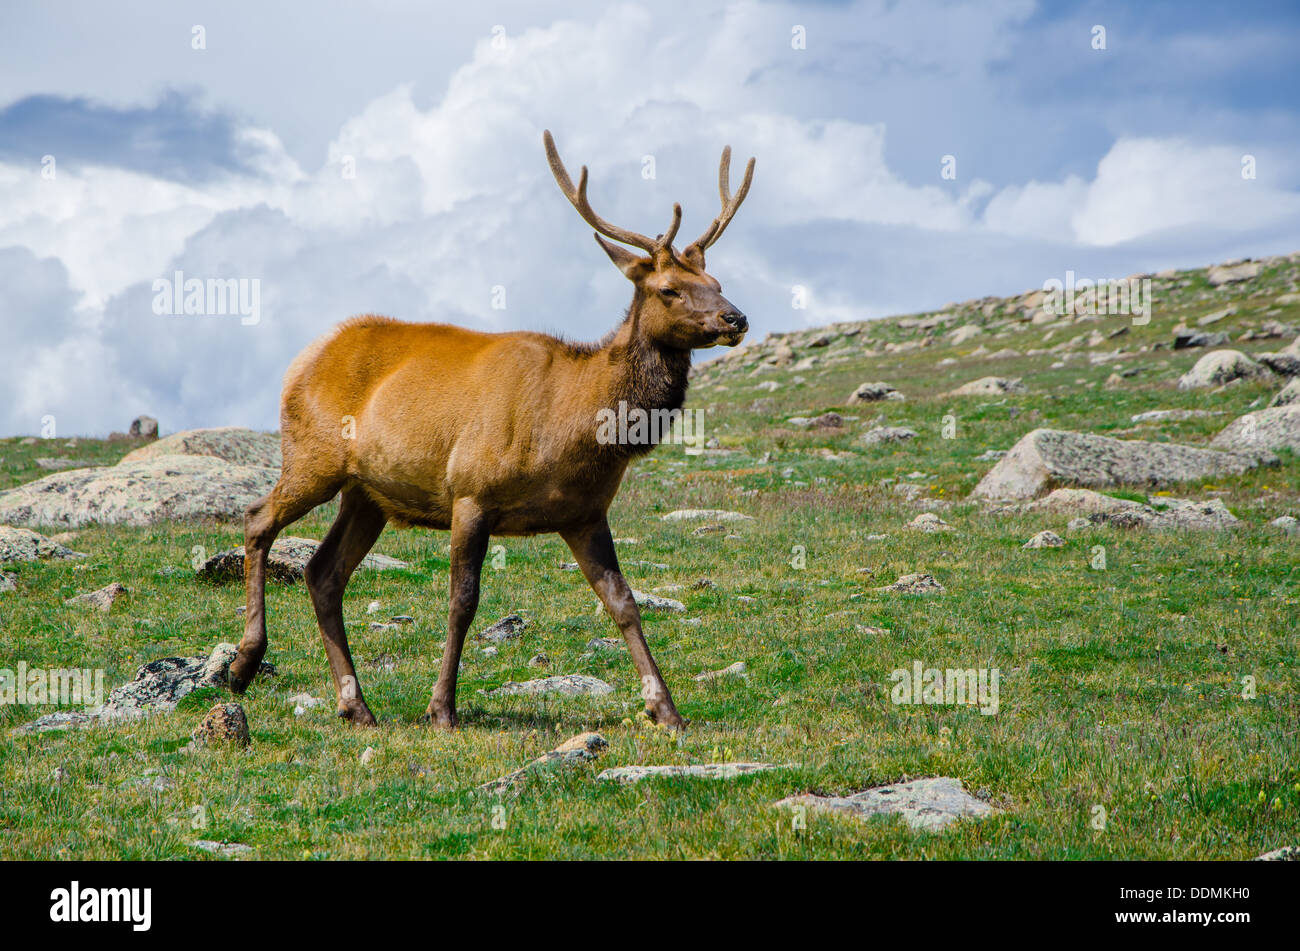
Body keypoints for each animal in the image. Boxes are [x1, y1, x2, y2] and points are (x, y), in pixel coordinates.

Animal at [226, 130, 755, 731]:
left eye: (715, 280)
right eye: (669, 289)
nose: (736, 317)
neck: (575, 429)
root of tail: (303, 359)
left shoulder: (585, 513)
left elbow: (622, 601)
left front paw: (666, 710)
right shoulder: (470, 491)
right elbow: (463, 601)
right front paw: (442, 709)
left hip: (368, 494)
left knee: (322, 573)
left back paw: (355, 704)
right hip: (312, 456)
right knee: (258, 519)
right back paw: (244, 665)